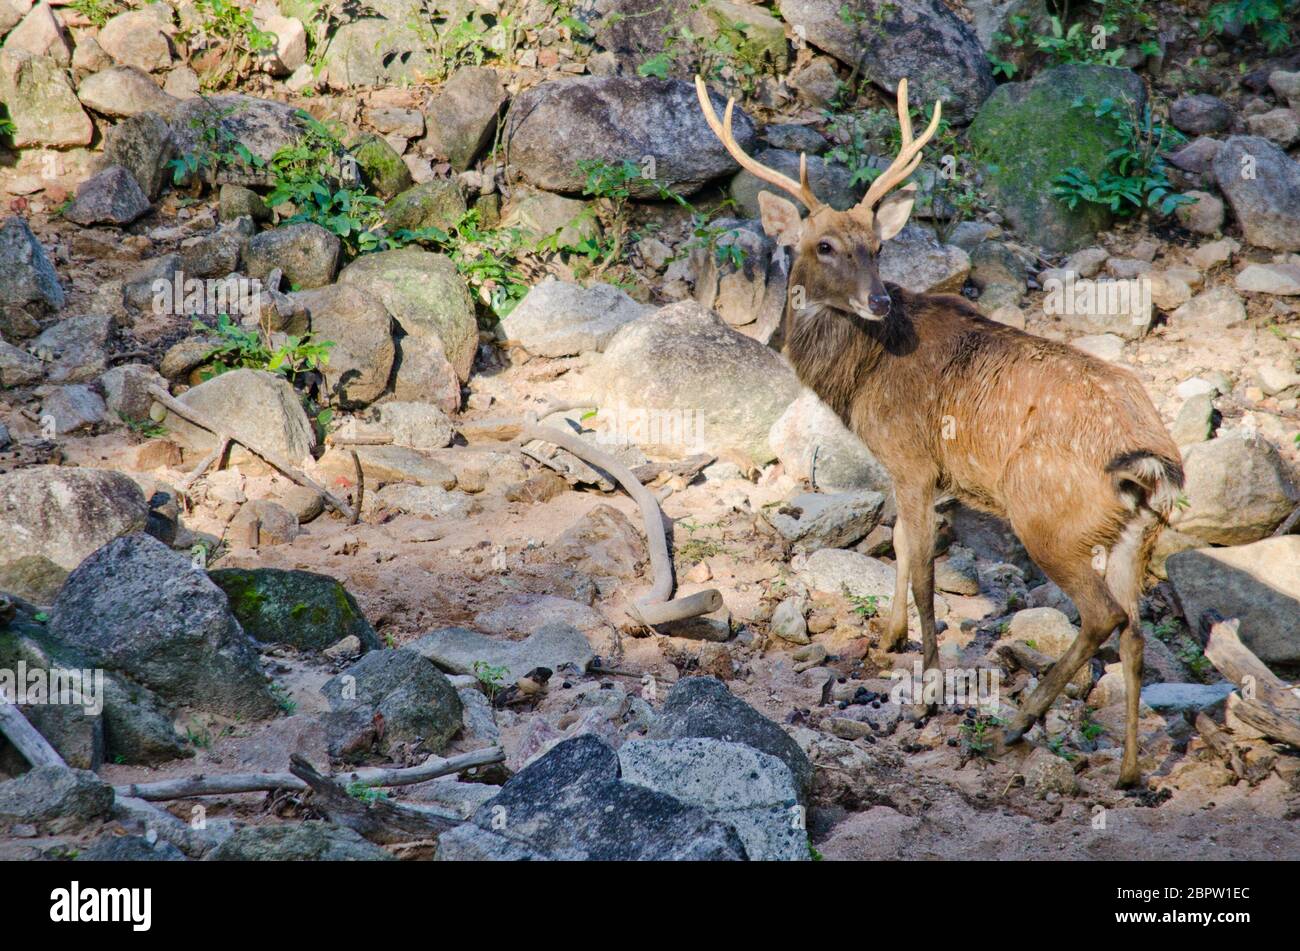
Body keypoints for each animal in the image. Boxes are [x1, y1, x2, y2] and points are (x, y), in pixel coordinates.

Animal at [695, 76, 1184, 788]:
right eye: (825, 246)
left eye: (878, 248)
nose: (878, 300)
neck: (861, 380)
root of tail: (1154, 462)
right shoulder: (909, 471)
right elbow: (899, 545)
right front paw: (887, 640)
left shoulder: (913, 459)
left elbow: (925, 570)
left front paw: (926, 690)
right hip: (1134, 536)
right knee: (1137, 635)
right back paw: (1125, 770)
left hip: (1046, 514)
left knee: (1103, 616)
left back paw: (1013, 726)